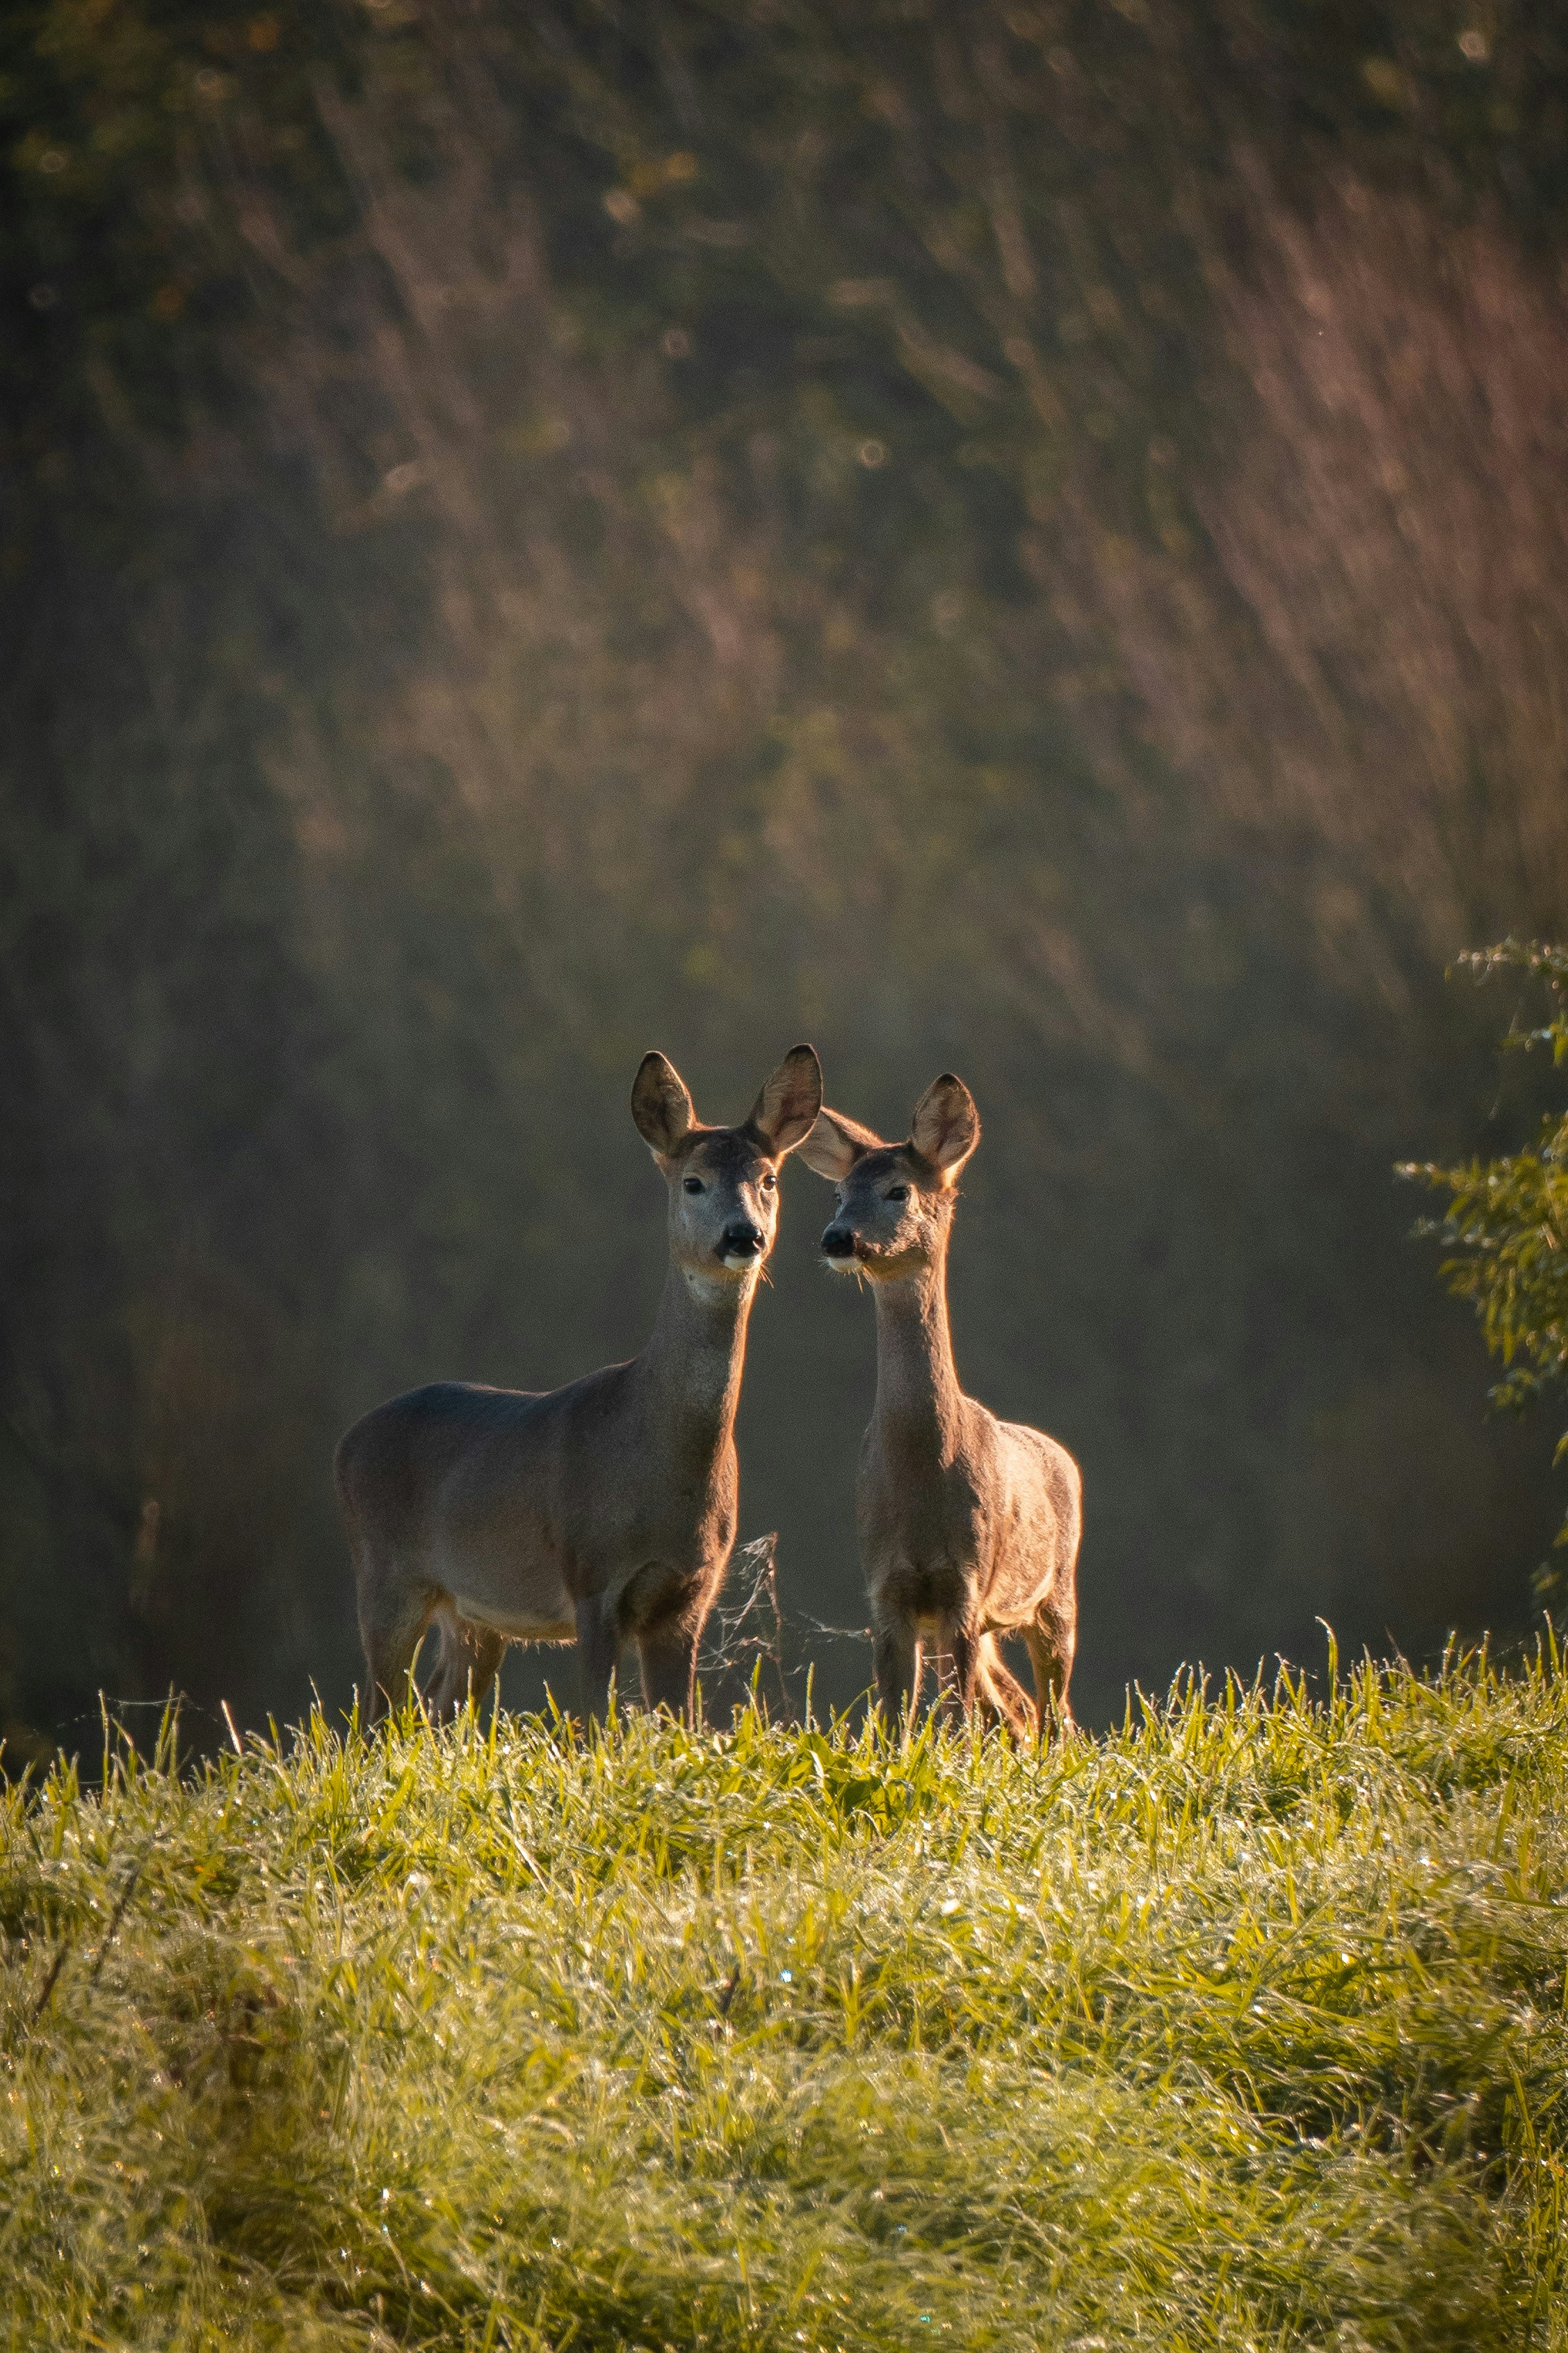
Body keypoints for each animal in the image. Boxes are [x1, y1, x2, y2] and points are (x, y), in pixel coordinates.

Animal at [335, 1045, 823, 1726]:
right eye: (693, 1181)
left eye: (769, 1180)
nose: (742, 1234)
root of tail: (346, 1442)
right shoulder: (592, 1576)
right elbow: (595, 1721)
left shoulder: (691, 1592)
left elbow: (680, 1722)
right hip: (385, 1573)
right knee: (377, 1717)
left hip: (474, 1610)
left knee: (437, 1706)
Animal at [800, 1073, 1080, 1738]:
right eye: (837, 1193)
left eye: (898, 1190)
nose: (837, 1237)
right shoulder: (885, 1590)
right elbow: (894, 1719)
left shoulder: (966, 1586)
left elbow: (960, 1719)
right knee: (1018, 1710)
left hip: (1054, 1593)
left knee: (1050, 1713)